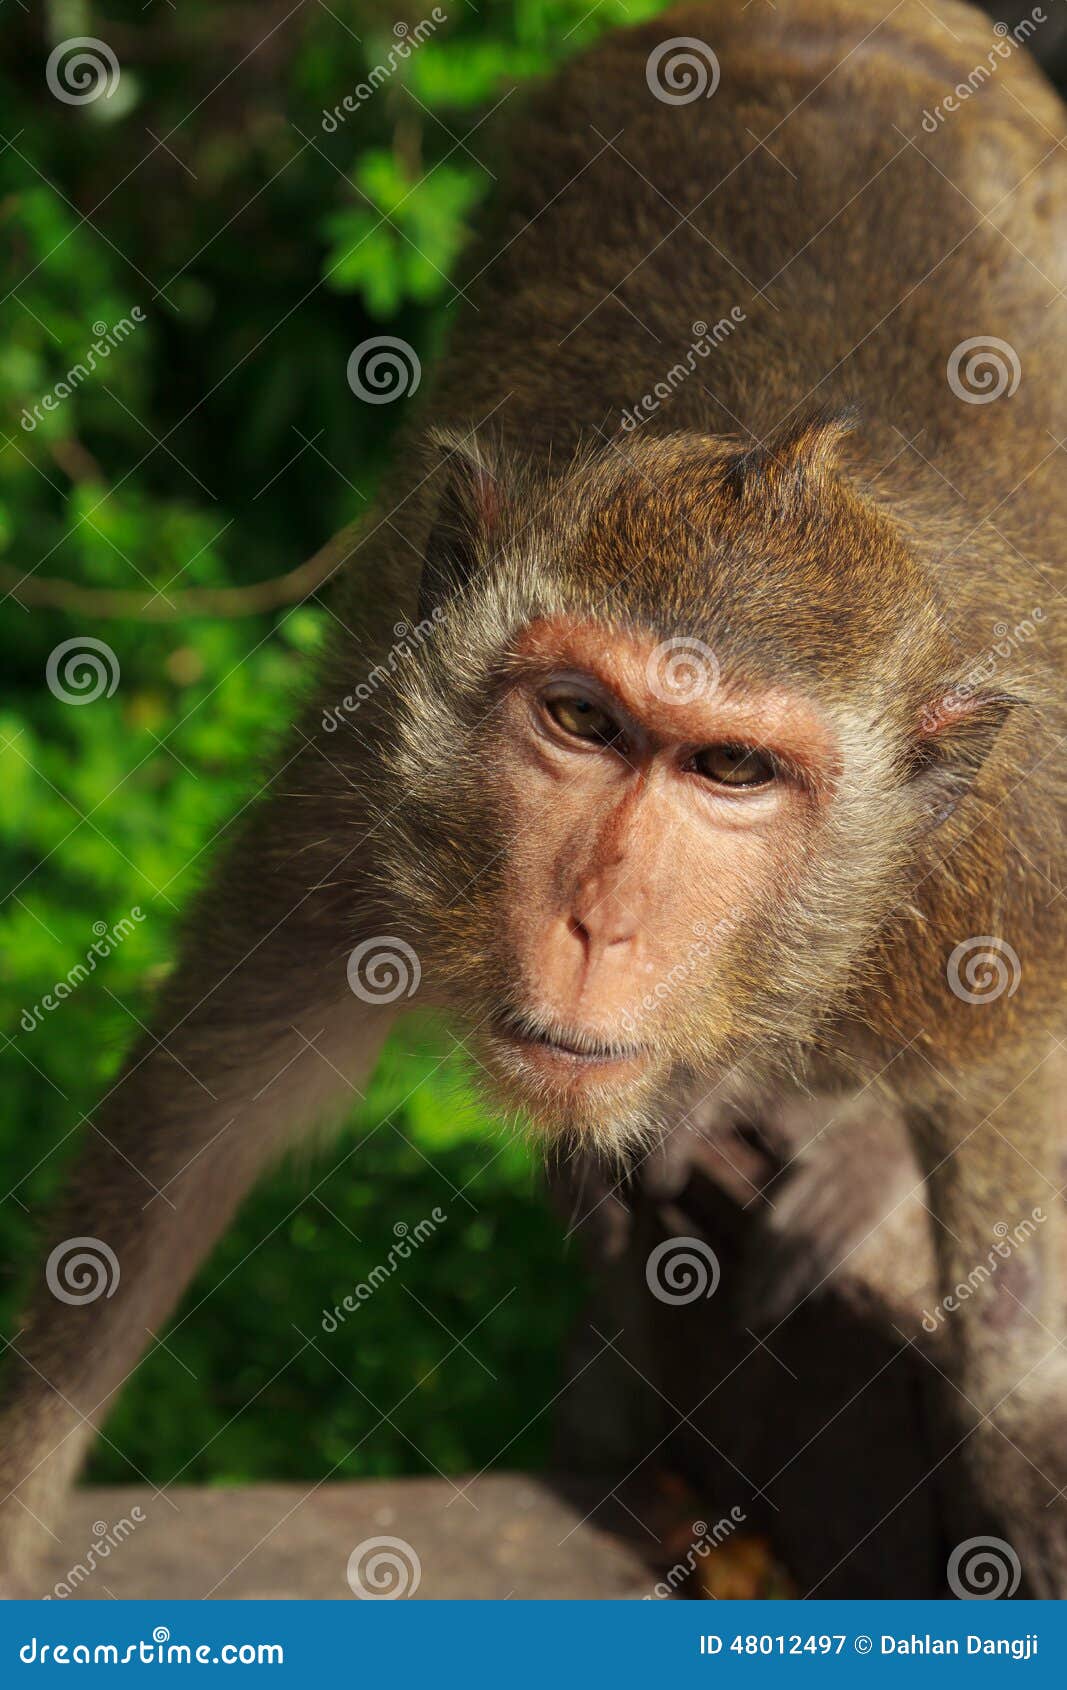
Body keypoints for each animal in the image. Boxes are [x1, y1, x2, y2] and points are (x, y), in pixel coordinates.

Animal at [2, 0, 1066, 1598]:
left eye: (731, 770)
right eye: (580, 721)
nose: (596, 918)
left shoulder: (999, 859)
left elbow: (1015, 1085)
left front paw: (1010, 1421)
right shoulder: (372, 803)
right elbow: (194, 1127)